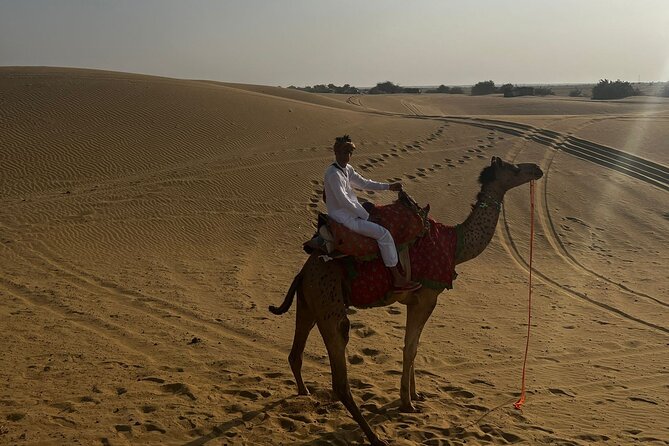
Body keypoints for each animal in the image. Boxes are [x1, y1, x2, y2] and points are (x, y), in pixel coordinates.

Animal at [269, 156, 543, 445]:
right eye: (514, 169)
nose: (537, 169)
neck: (456, 245)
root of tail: (305, 270)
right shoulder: (427, 298)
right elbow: (410, 348)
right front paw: (407, 403)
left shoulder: (414, 301)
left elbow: (414, 346)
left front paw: (416, 395)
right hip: (329, 303)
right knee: (339, 375)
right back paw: (374, 437)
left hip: (309, 301)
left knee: (296, 352)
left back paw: (305, 392)